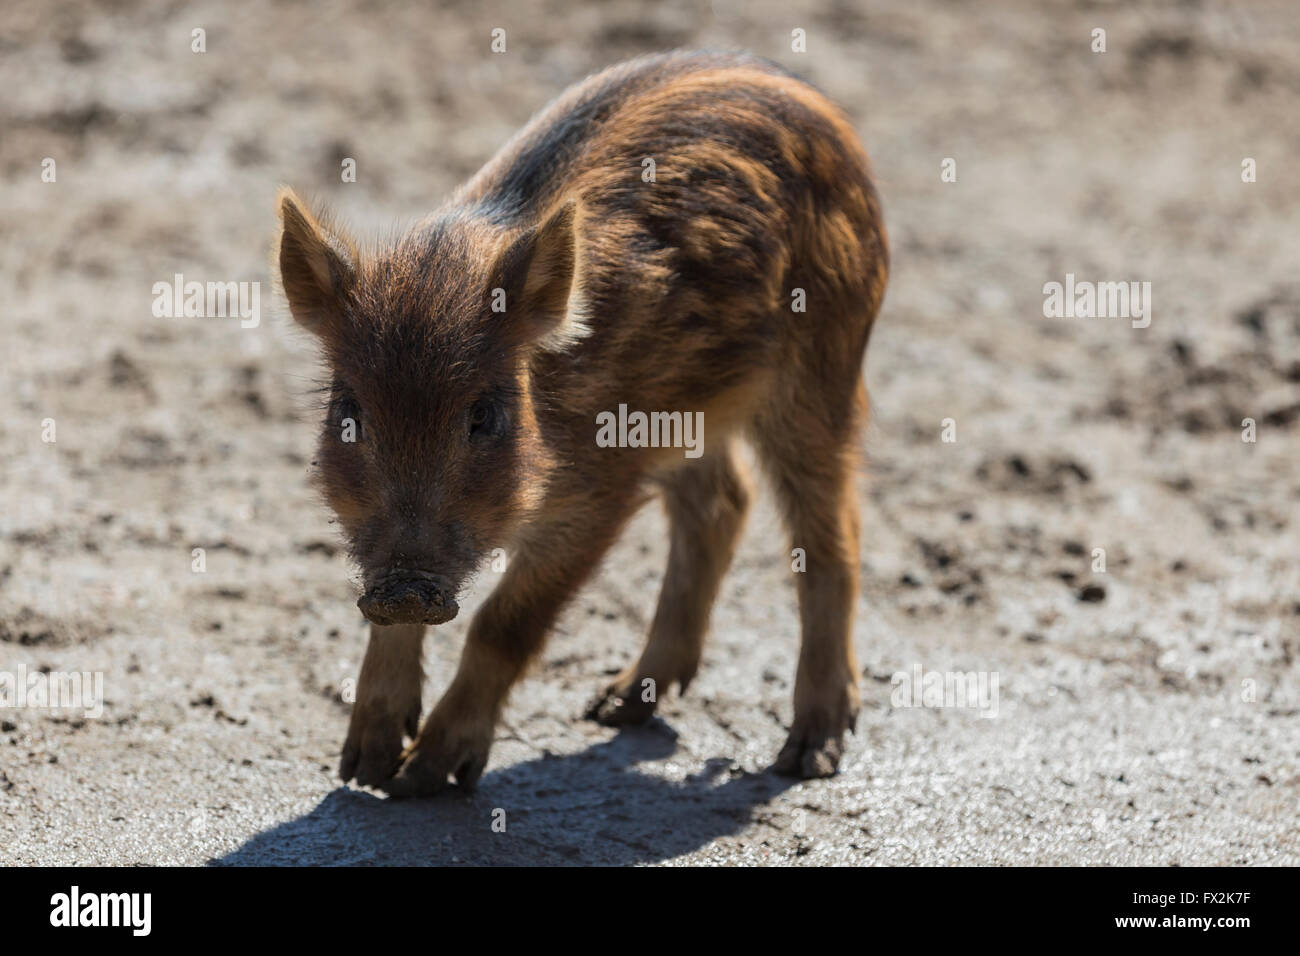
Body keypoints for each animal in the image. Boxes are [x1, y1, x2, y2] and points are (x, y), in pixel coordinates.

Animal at [275, 50, 888, 796]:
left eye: (485, 414)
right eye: (349, 412)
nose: (405, 588)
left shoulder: (600, 492)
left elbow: (502, 623)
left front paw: (429, 775)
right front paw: (363, 770)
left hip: (822, 368)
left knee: (831, 535)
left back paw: (809, 754)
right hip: (688, 409)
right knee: (723, 504)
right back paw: (615, 706)